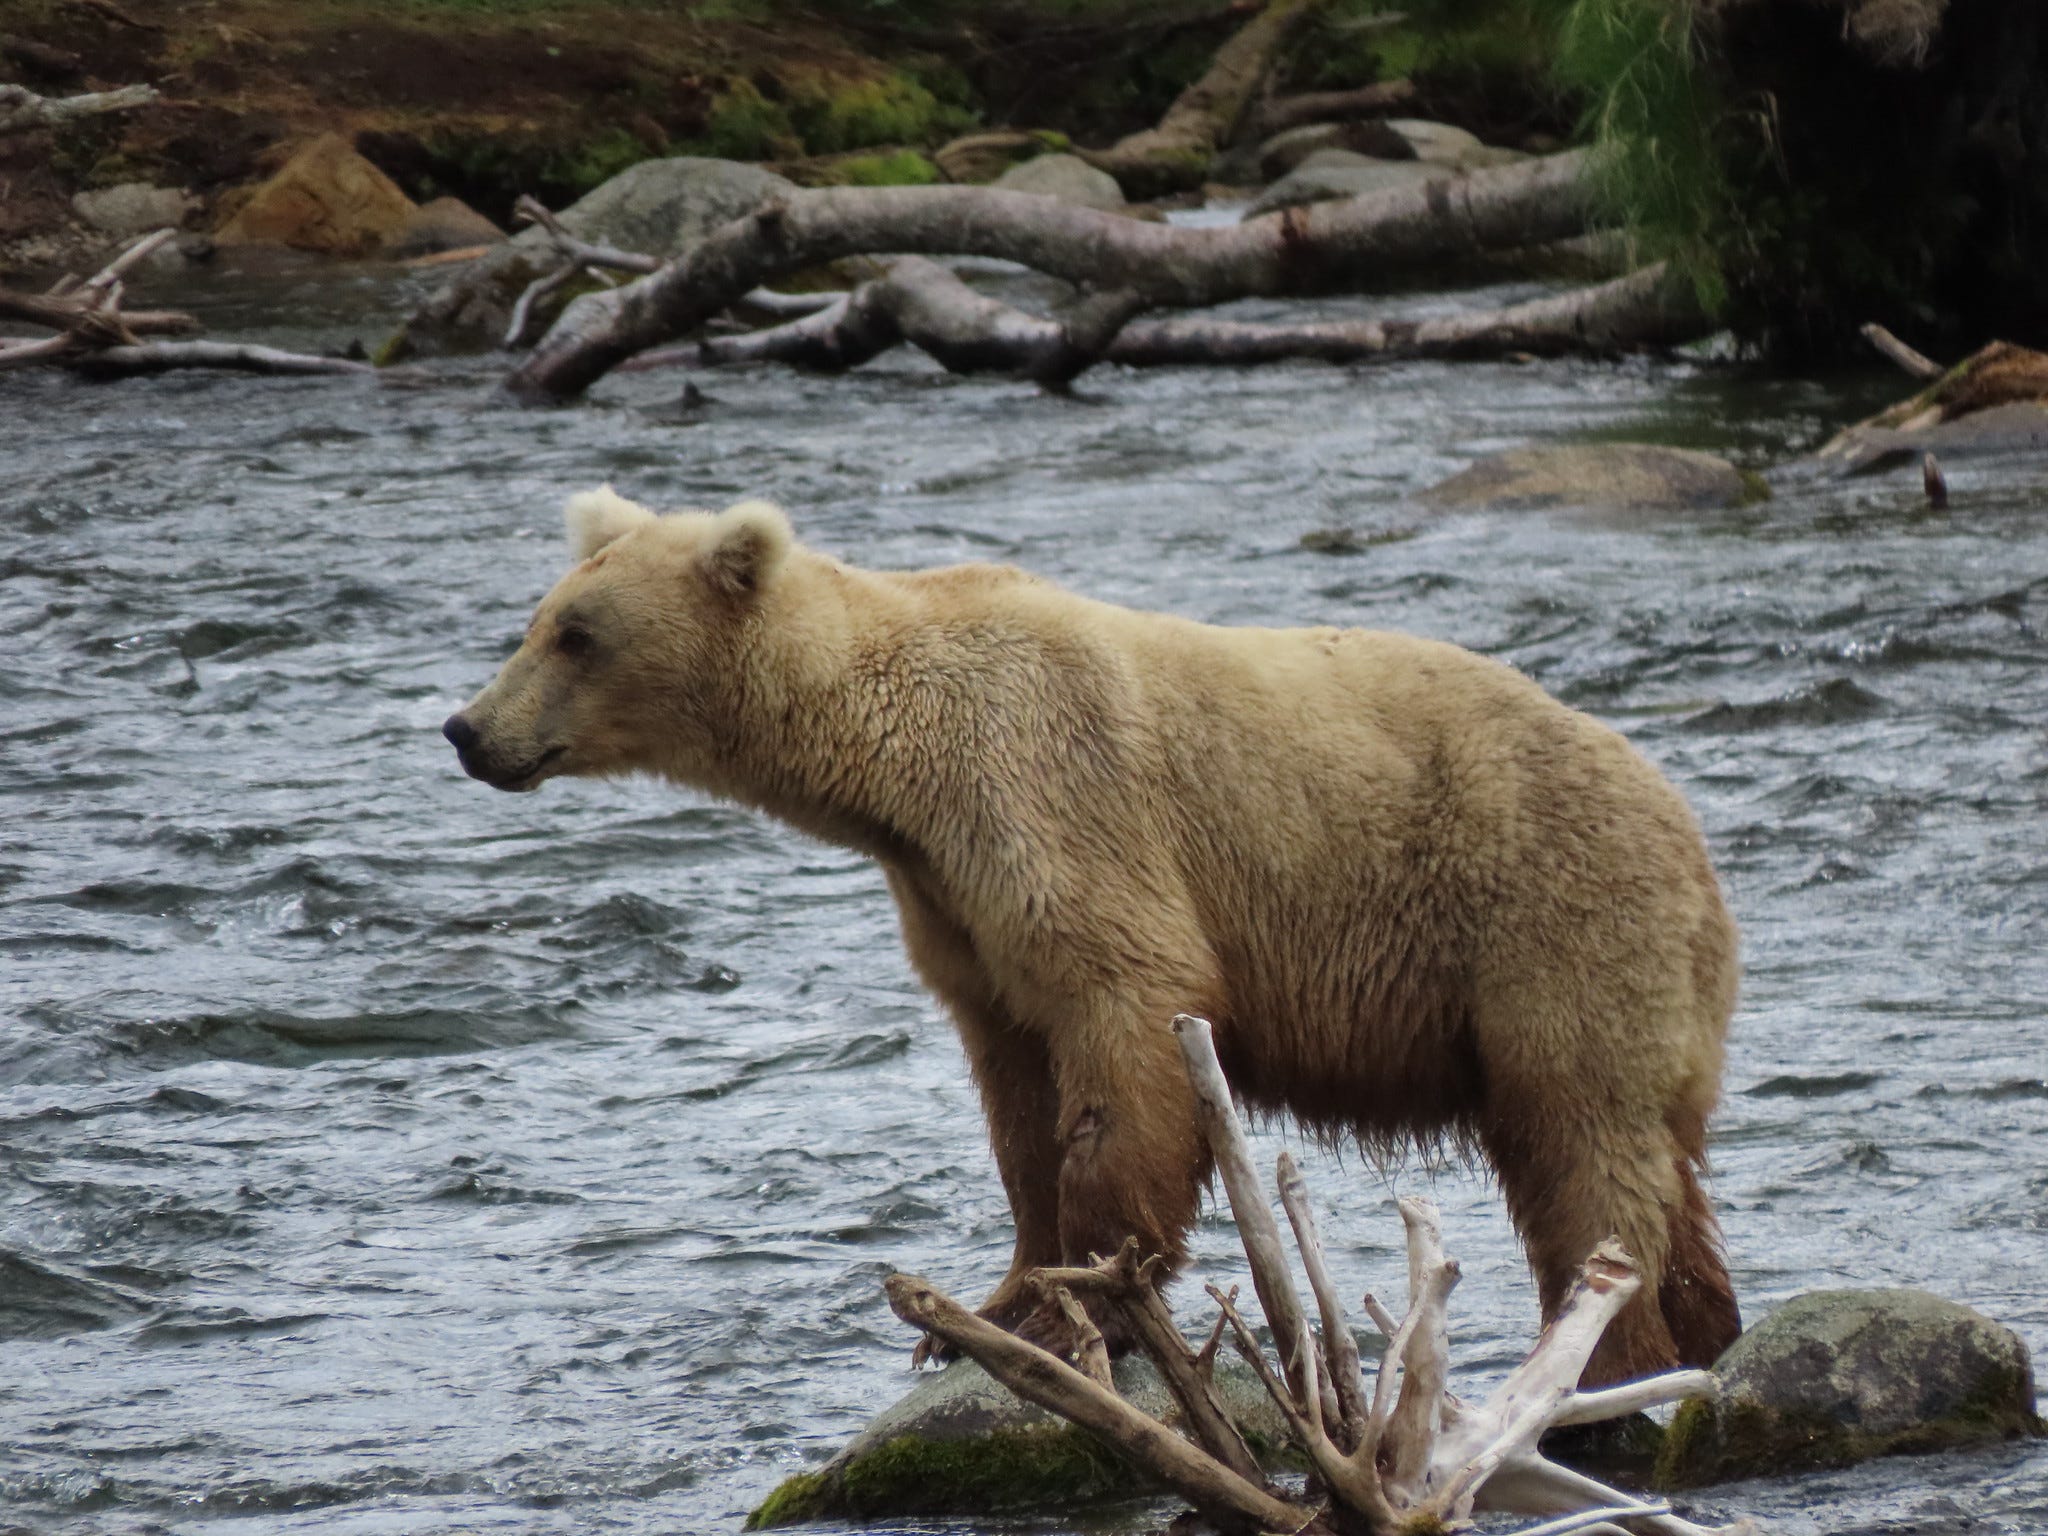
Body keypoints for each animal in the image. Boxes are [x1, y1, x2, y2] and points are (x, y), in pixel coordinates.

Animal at [444, 488, 1742, 1386]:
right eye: (536, 619)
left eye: (576, 635)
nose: (467, 729)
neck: (891, 775)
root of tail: (1690, 837)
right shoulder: (951, 908)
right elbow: (1014, 1097)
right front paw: (986, 1306)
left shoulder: (1048, 801)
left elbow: (1122, 1027)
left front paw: (1085, 1300)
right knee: (1654, 1163)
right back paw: (1701, 1323)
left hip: (1549, 926)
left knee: (1580, 1145)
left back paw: (1610, 1351)